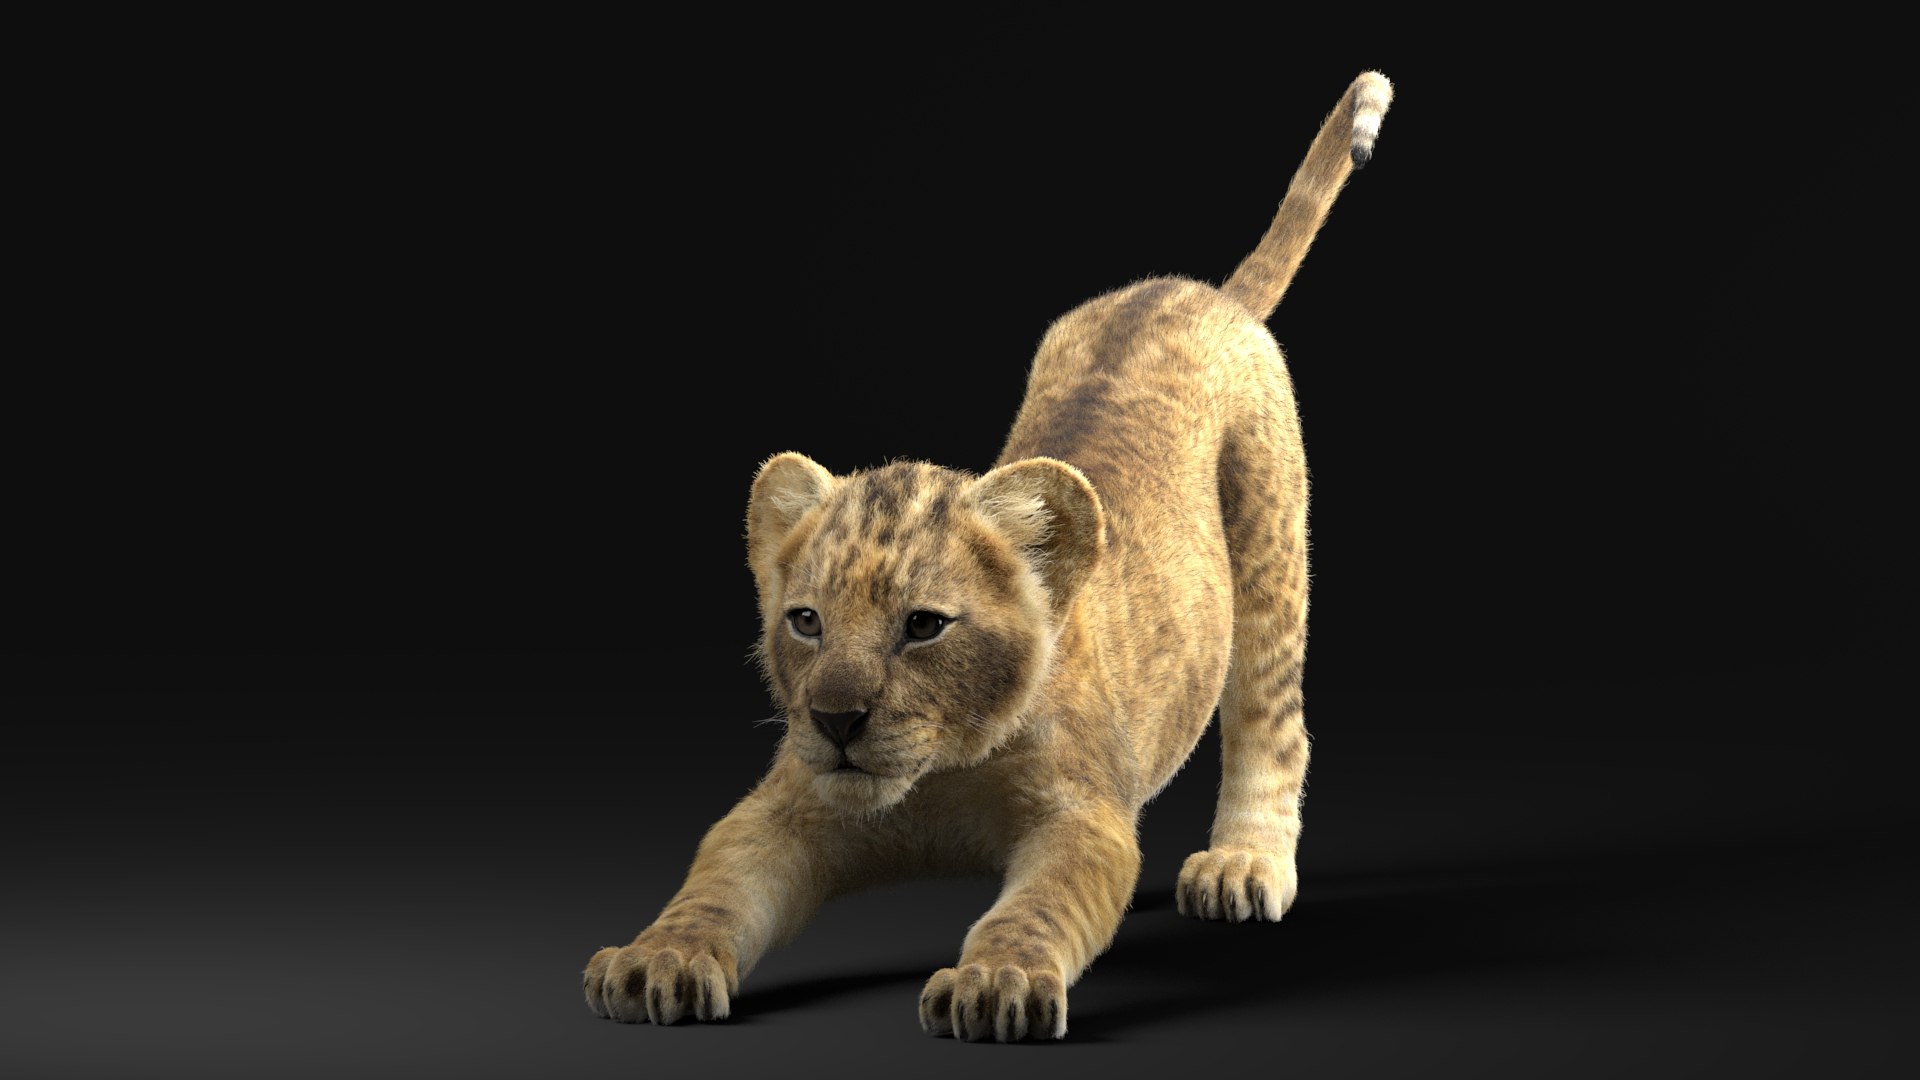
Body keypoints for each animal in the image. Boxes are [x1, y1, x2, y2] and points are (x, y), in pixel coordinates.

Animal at [584, 70, 1392, 1042]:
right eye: (806, 622)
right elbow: (711, 887)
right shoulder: (781, 808)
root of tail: (1202, 292)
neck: (938, 774)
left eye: (925, 626)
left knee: (1272, 715)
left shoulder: (1083, 819)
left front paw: (994, 984)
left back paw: (1241, 864)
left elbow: (1034, 908)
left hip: (1270, 546)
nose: (837, 721)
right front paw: (654, 962)